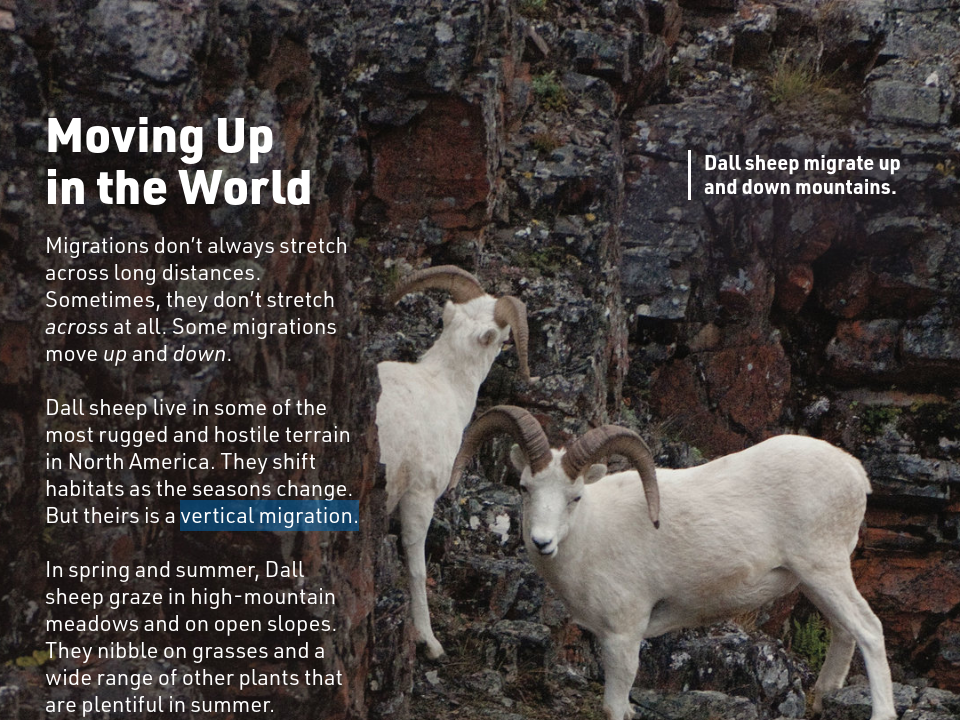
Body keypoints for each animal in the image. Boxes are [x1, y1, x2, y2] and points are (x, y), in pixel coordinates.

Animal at [451, 405, 896, 720]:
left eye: (574, 496)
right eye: (524, 487)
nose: (541, 541)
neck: (593, 534)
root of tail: (855, 473)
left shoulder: (623, 636)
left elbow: (614, 707)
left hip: (824, 570)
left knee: (869, 630)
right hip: (812, 582)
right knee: (844, 632)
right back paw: (823, 700)